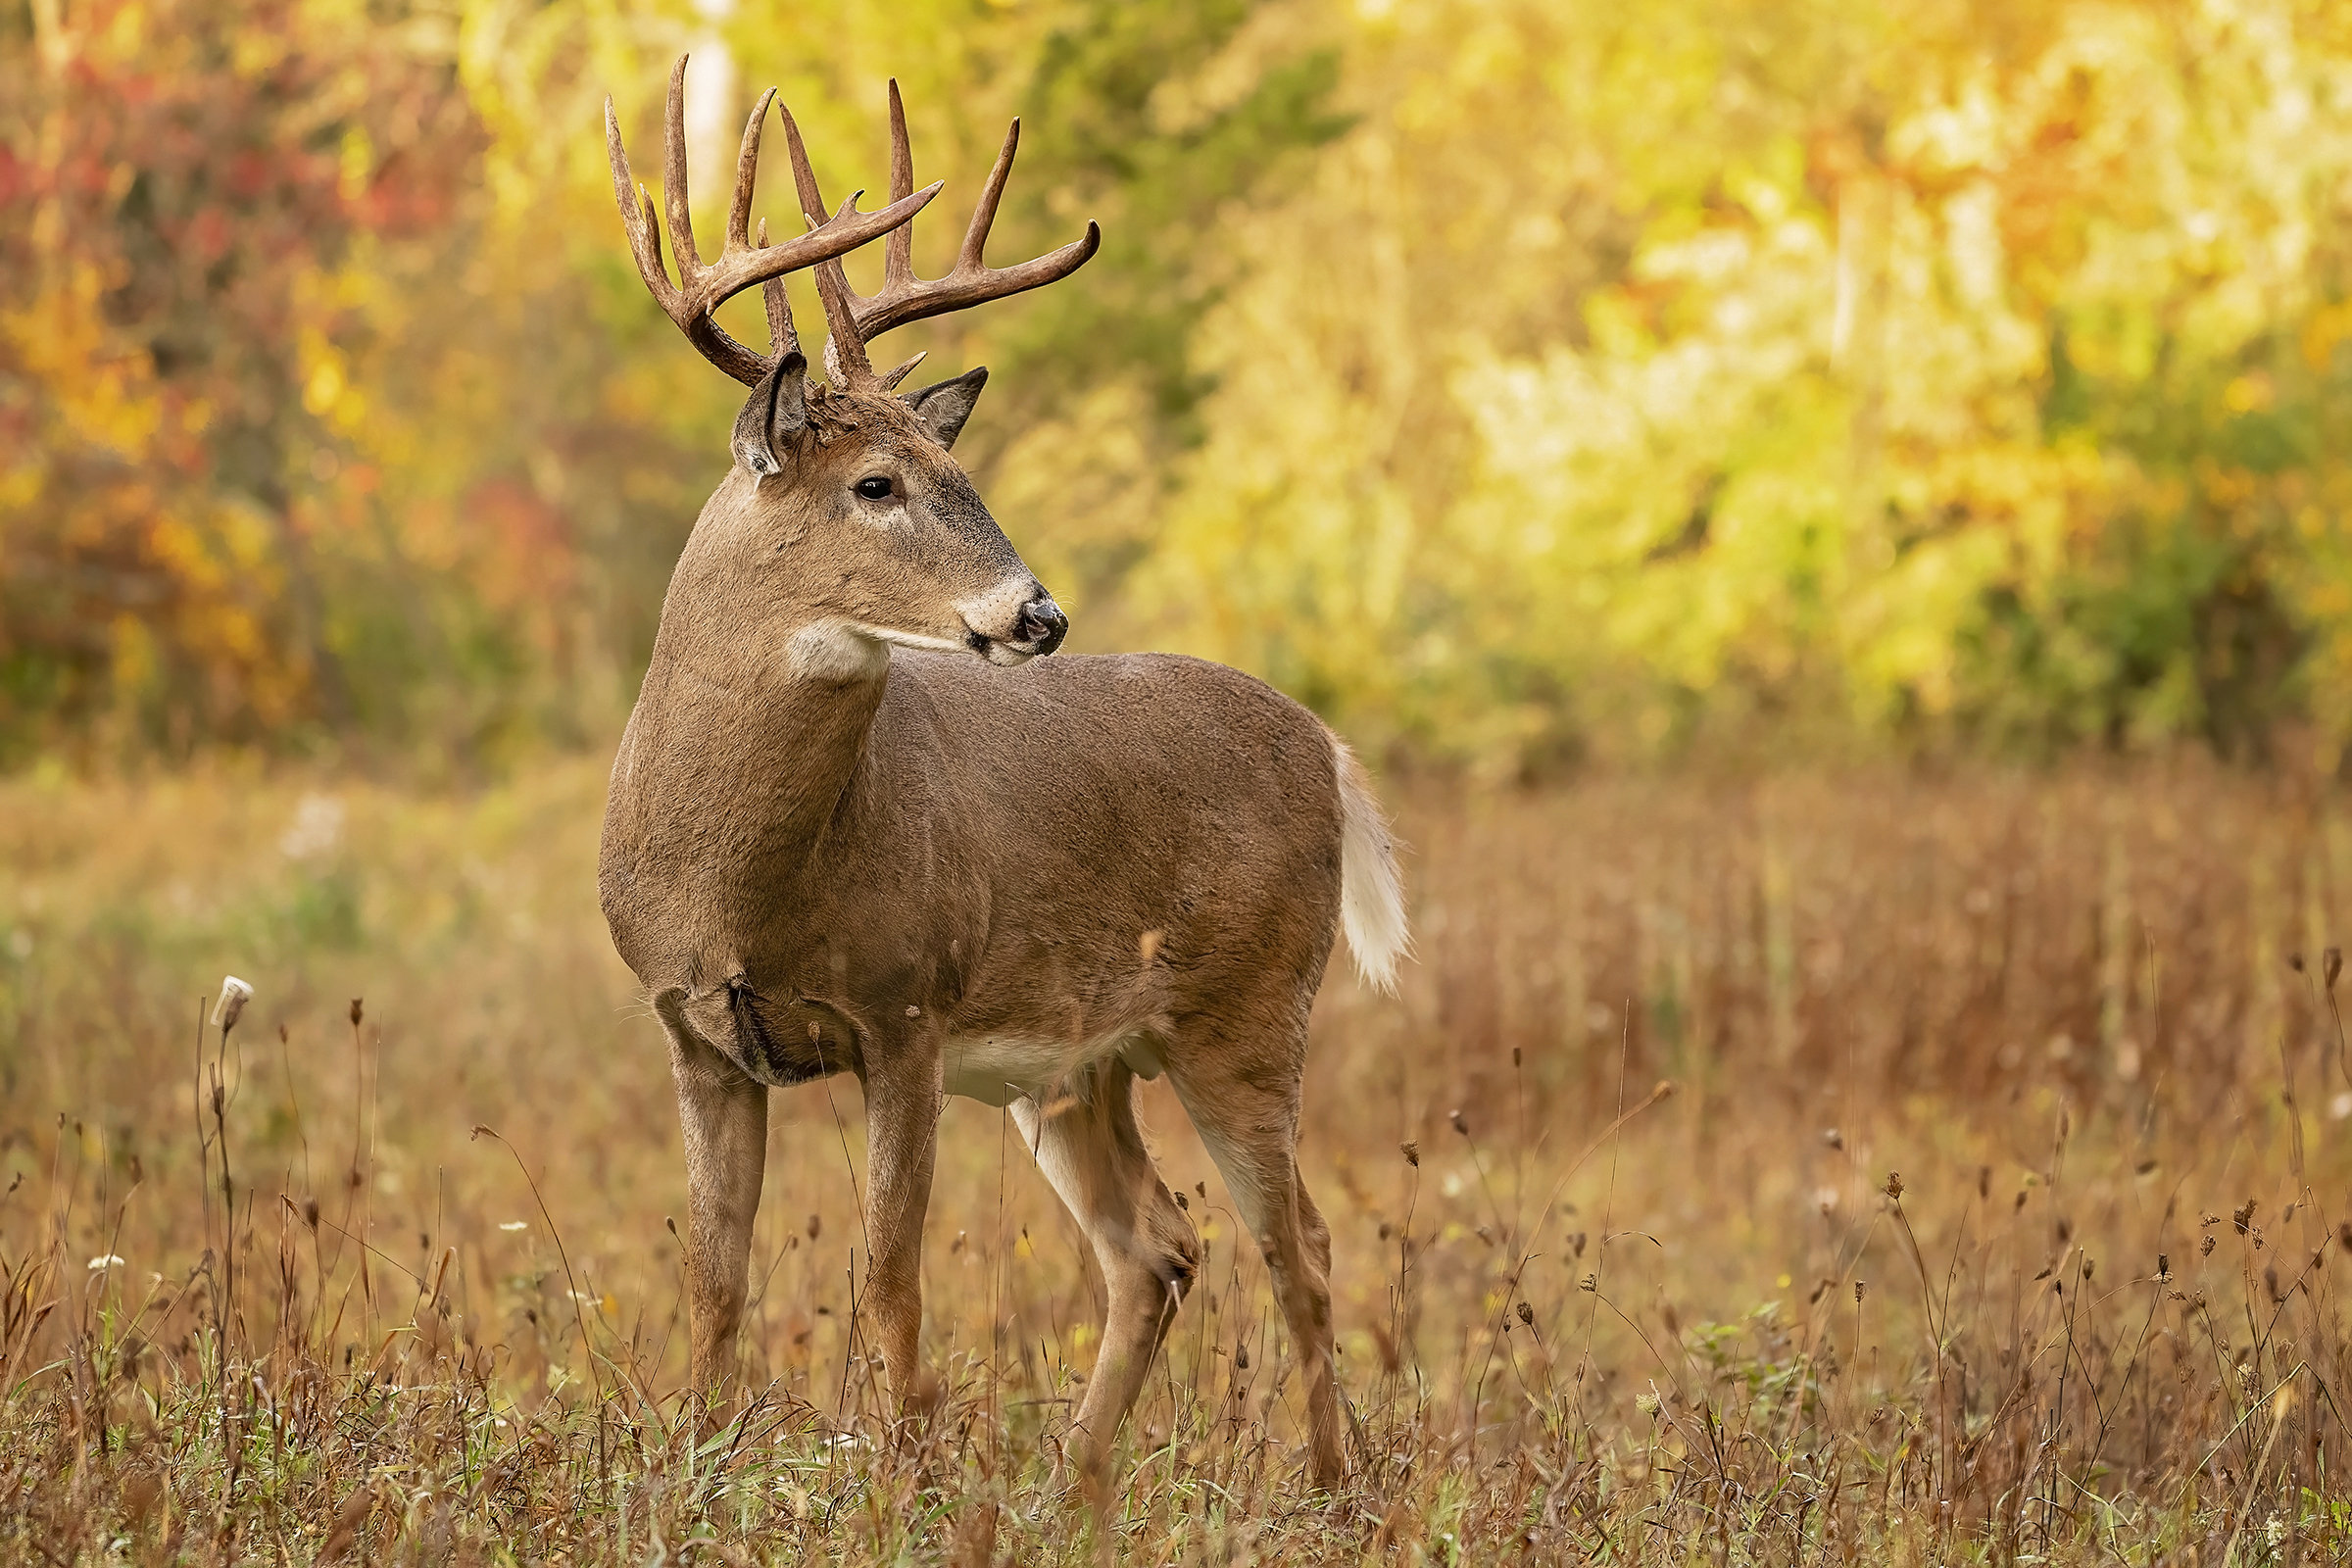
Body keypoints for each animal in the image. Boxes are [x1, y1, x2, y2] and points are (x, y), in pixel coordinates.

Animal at [595, 58, 1406, 1491]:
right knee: (1158, 1248)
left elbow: (886, 1277)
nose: (1039, 614)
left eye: (960, 470)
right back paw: (1067, 1490)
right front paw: (698, 1471)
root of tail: (1326, 746)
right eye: (877, 484)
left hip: (1248, 1011)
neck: (740, 883)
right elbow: (713, 1282)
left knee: (1295, 1244)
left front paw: (905, 1476)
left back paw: (1328, 1488)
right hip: (1083, 1064)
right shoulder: (691, 1030)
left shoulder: (907, 1010)